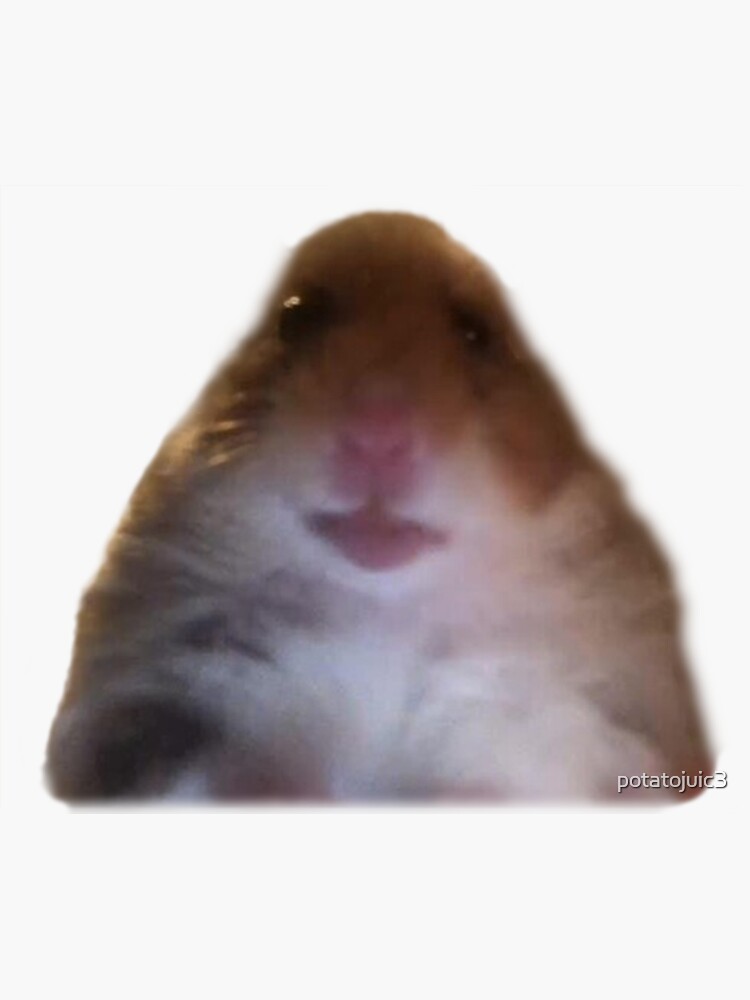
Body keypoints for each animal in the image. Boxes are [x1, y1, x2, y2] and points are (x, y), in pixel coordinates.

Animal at [46, 211, 711, 802]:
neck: (380, 610)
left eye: (476, 333)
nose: (377, 432)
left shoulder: (591, 721)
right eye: (295, 317)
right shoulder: (147, 708)